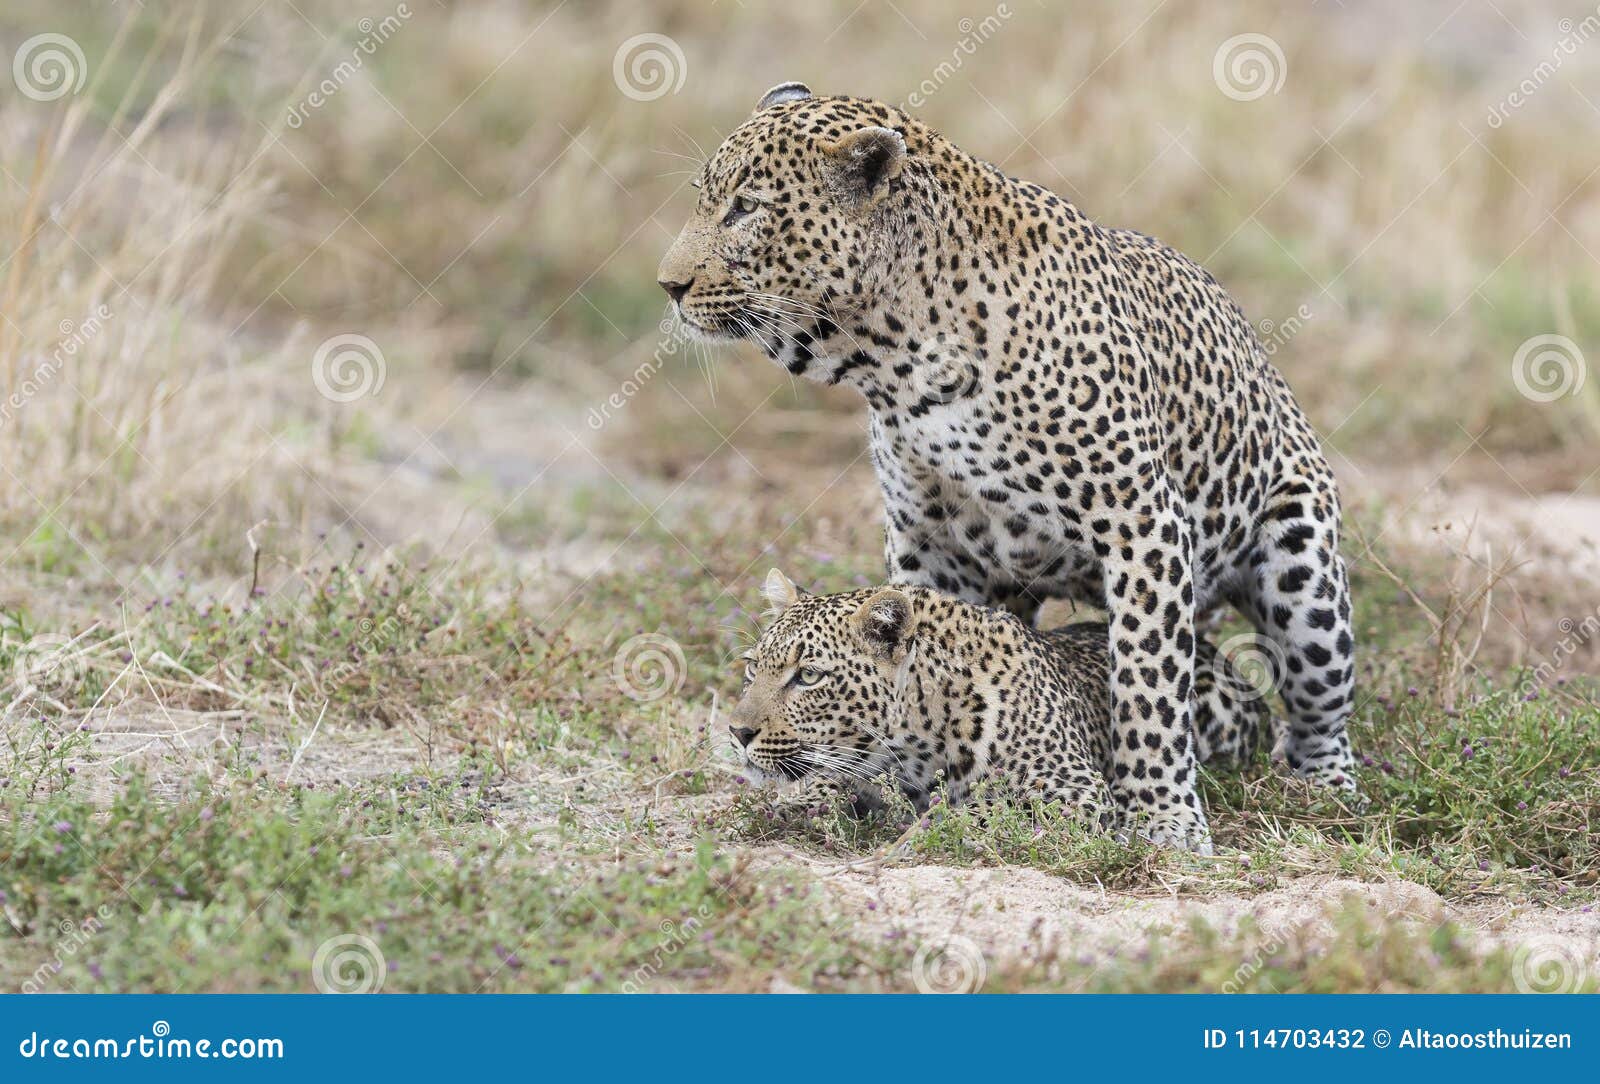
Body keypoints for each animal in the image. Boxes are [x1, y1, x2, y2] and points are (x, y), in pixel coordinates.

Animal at [729, 569, 1269, 846]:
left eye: (809, 676)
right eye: (754, 667)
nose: (736, 732)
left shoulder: (1075, 790)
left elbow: (985, 809)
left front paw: (922, 828)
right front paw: (795, 807)